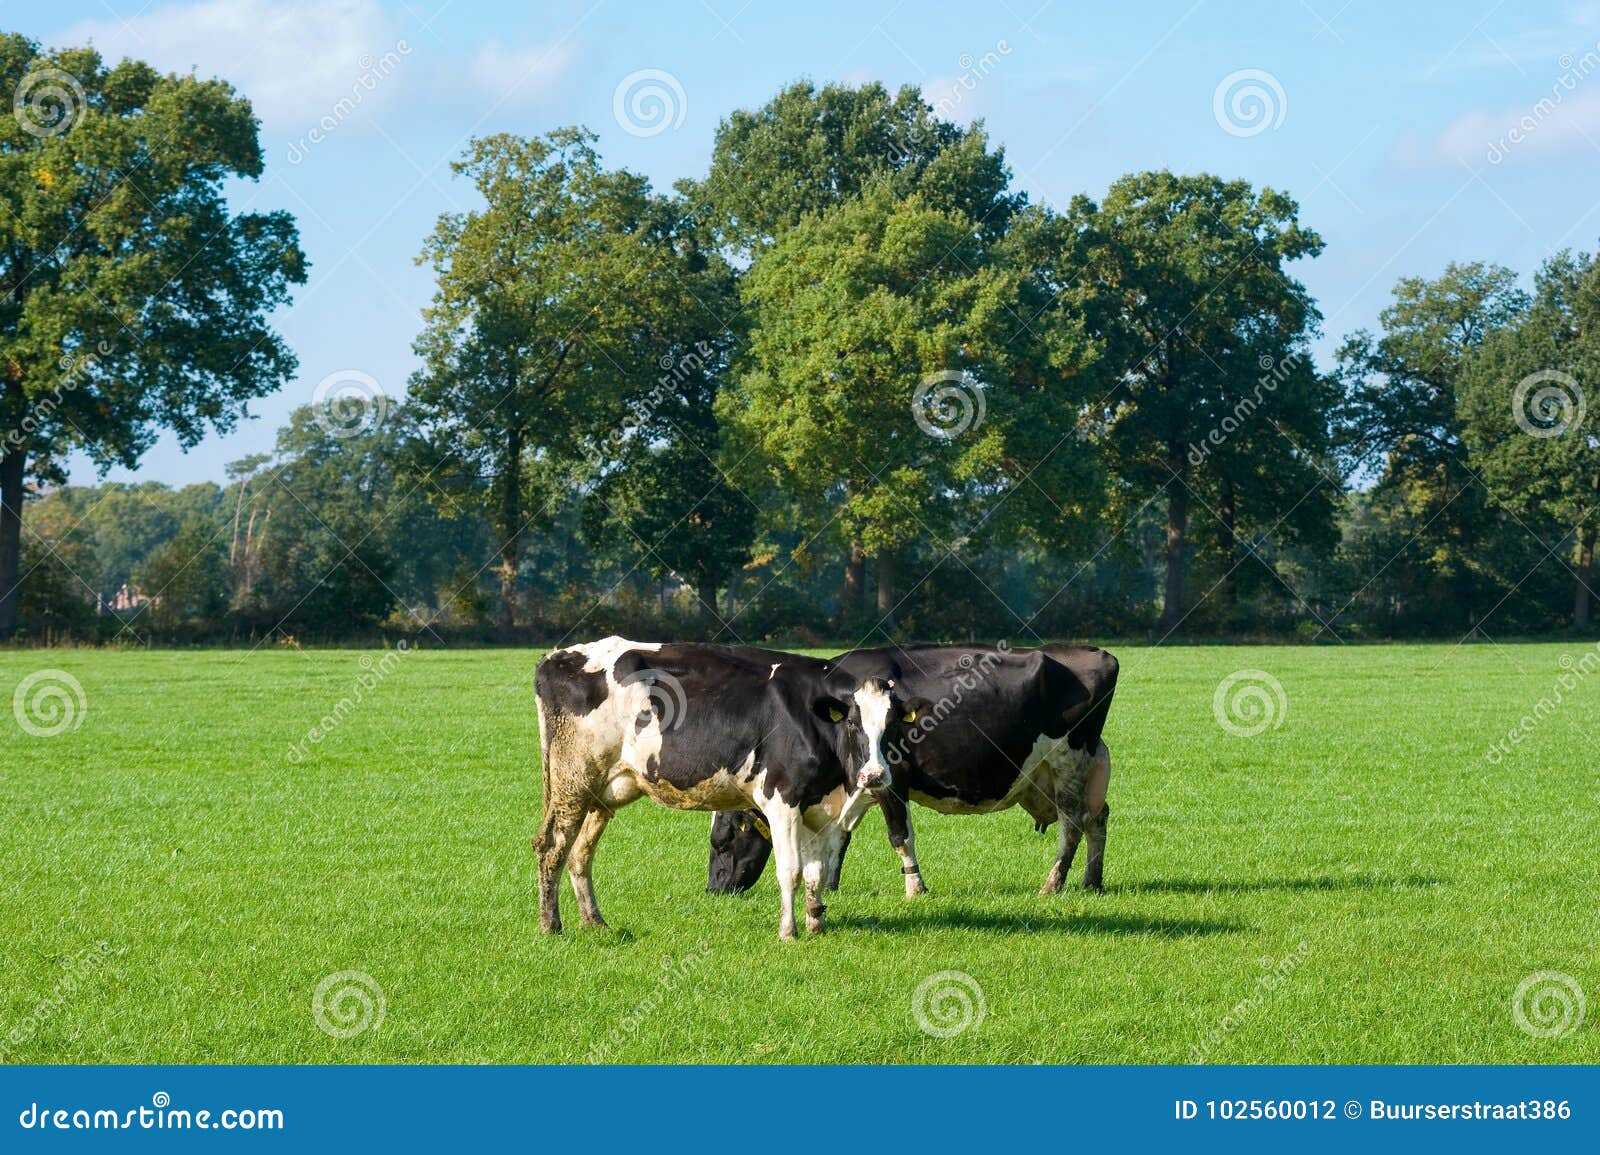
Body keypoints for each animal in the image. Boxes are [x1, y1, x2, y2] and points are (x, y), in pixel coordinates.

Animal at [534, 637, 928, 940]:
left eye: (893, 725)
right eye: (852, 723)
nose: (874, 775)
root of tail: (556, 657)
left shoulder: (821, 809)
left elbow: (815, 871)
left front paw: (816, 923)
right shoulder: (782, 800)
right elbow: (791, 869)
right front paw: (789, 932)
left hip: (603, 792)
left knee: (580, 853)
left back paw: (595, 922)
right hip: (572, 781)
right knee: (551, 846)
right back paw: (551, 926)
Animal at [708, 642, 1119, 898]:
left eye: (722, 842)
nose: (714, 890)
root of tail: (1095, 652)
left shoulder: (892, 777)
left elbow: (899, 837)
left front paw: (915, 888)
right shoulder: (857, 783)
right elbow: (841, 833)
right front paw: (830, 886)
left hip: (1069, 760)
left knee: (1072, 824)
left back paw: (1053, 884)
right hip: (1075, 770)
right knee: (1098, 817)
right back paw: (1092, 882)